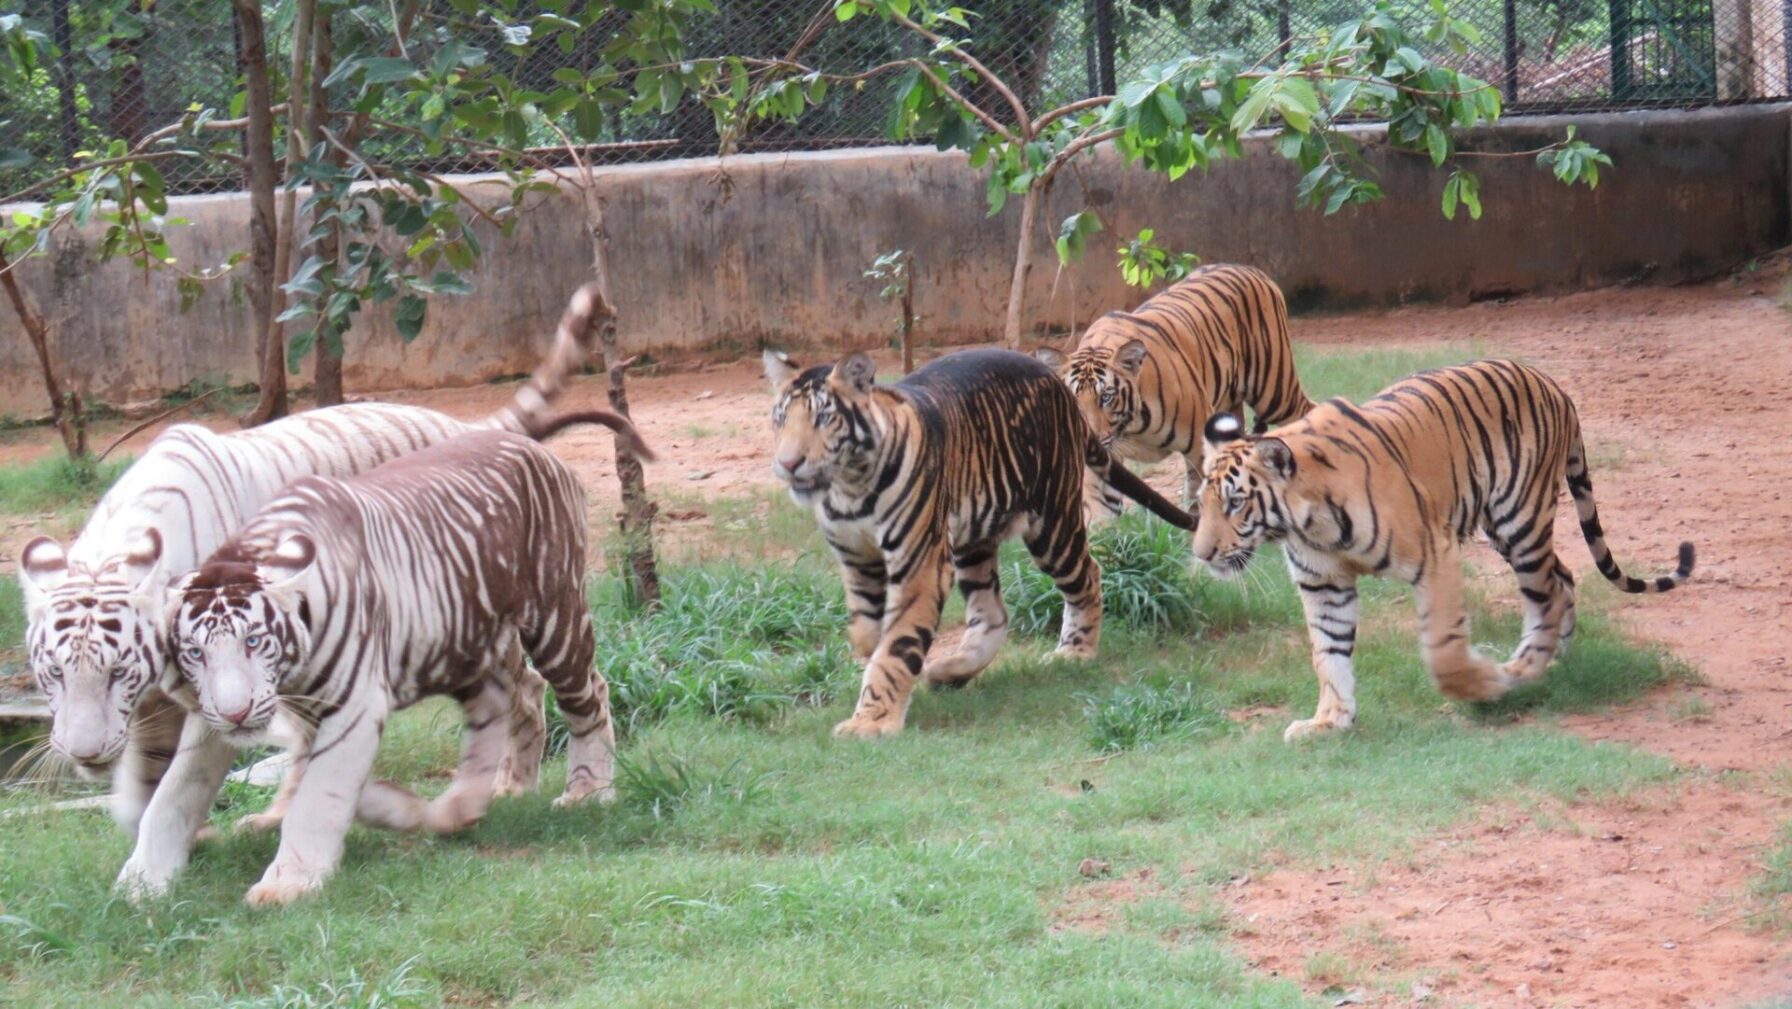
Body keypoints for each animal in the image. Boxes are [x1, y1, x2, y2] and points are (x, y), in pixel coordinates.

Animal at [17, 283, 615, 838]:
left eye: (117, 673)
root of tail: (467, 429)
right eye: (54, 673)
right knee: (526, 686)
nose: (83, 753)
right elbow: (146, 771)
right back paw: (512, 784)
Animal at [123, 408, 652, 907]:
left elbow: (318, 795)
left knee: (587, 695)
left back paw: (588, 791)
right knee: (499, 708)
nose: (234, 714)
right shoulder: (253, 720)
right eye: (194, 652)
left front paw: (287, 883)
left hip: (555, 614)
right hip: (462, 642)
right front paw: (143, 880)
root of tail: (529, 445)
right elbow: (187, 791)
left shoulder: (353, 708)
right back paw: (470, 803)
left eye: (253, 641)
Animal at [763, 347, 1197, 739]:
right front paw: (883, 680)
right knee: (993, 613)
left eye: (823, 418)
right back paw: (950, 671)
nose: (787, 464)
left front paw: (871, 721)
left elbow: (896, 643)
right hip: (973, 539)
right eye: (781, 419)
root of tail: (1058, 385)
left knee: (1088, 575)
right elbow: (870, 635)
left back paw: (1075, 652)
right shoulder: (858, 562)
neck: (848, 489)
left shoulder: (919, 562)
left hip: (1051, 525)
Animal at [1036, 264, 1315, 518]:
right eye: (1074, 400)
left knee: (1307, 412)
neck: (1130, 428)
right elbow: (1101, 508)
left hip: (1275, 392)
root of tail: (1252, 269)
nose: (1090, 437)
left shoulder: (1200, 443)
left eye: (1106, 397)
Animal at [1191, 359, 1695, 742]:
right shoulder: (1323, 584)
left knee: (1546, 594)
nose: (1201, 554)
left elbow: (1442, 649)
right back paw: (1556, 658)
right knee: (1563, 579)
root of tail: (1554, 386)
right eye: (1202, 501)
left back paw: (1523, 668)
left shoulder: (1435, 554)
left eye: (1236, 502)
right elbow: (1328, 654)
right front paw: (1329, 722)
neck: (1308, 523)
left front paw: (1483, 685)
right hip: (1507, 528)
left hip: (1521, 520)